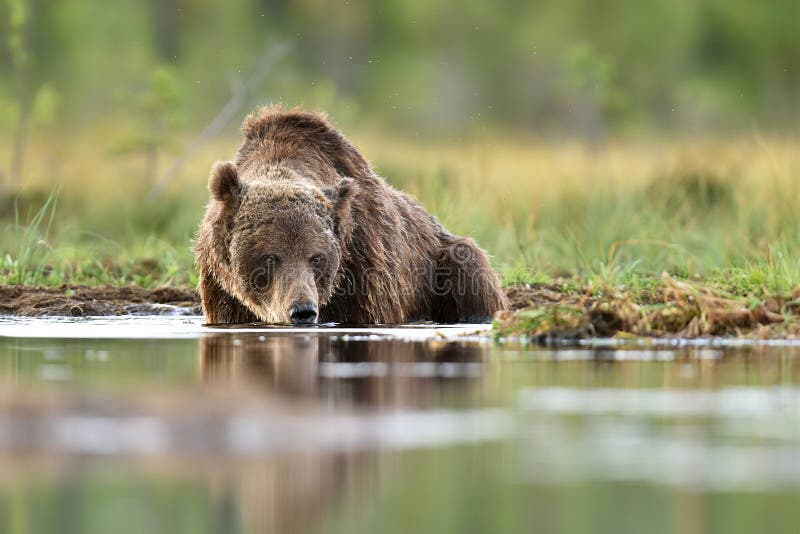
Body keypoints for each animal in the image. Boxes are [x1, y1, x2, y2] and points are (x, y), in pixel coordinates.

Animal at [194, 106, 508, 325]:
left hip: (440, 267)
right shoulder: (223, 291)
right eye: (270, 257)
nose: (303, 311)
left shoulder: (363, 272)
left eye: (316, 257)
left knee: (469, 266)